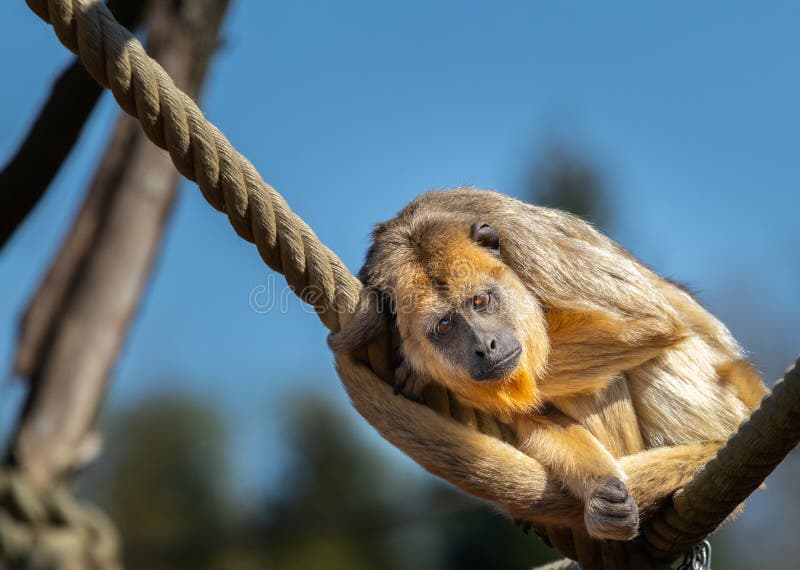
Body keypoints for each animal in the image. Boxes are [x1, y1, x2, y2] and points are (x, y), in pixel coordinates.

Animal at [329, 187, 767, 542]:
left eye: (481, 301)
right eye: (444, 326)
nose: (485, 347)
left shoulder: (527, 240)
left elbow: (647, 320)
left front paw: (421, 372)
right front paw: (598, 486)